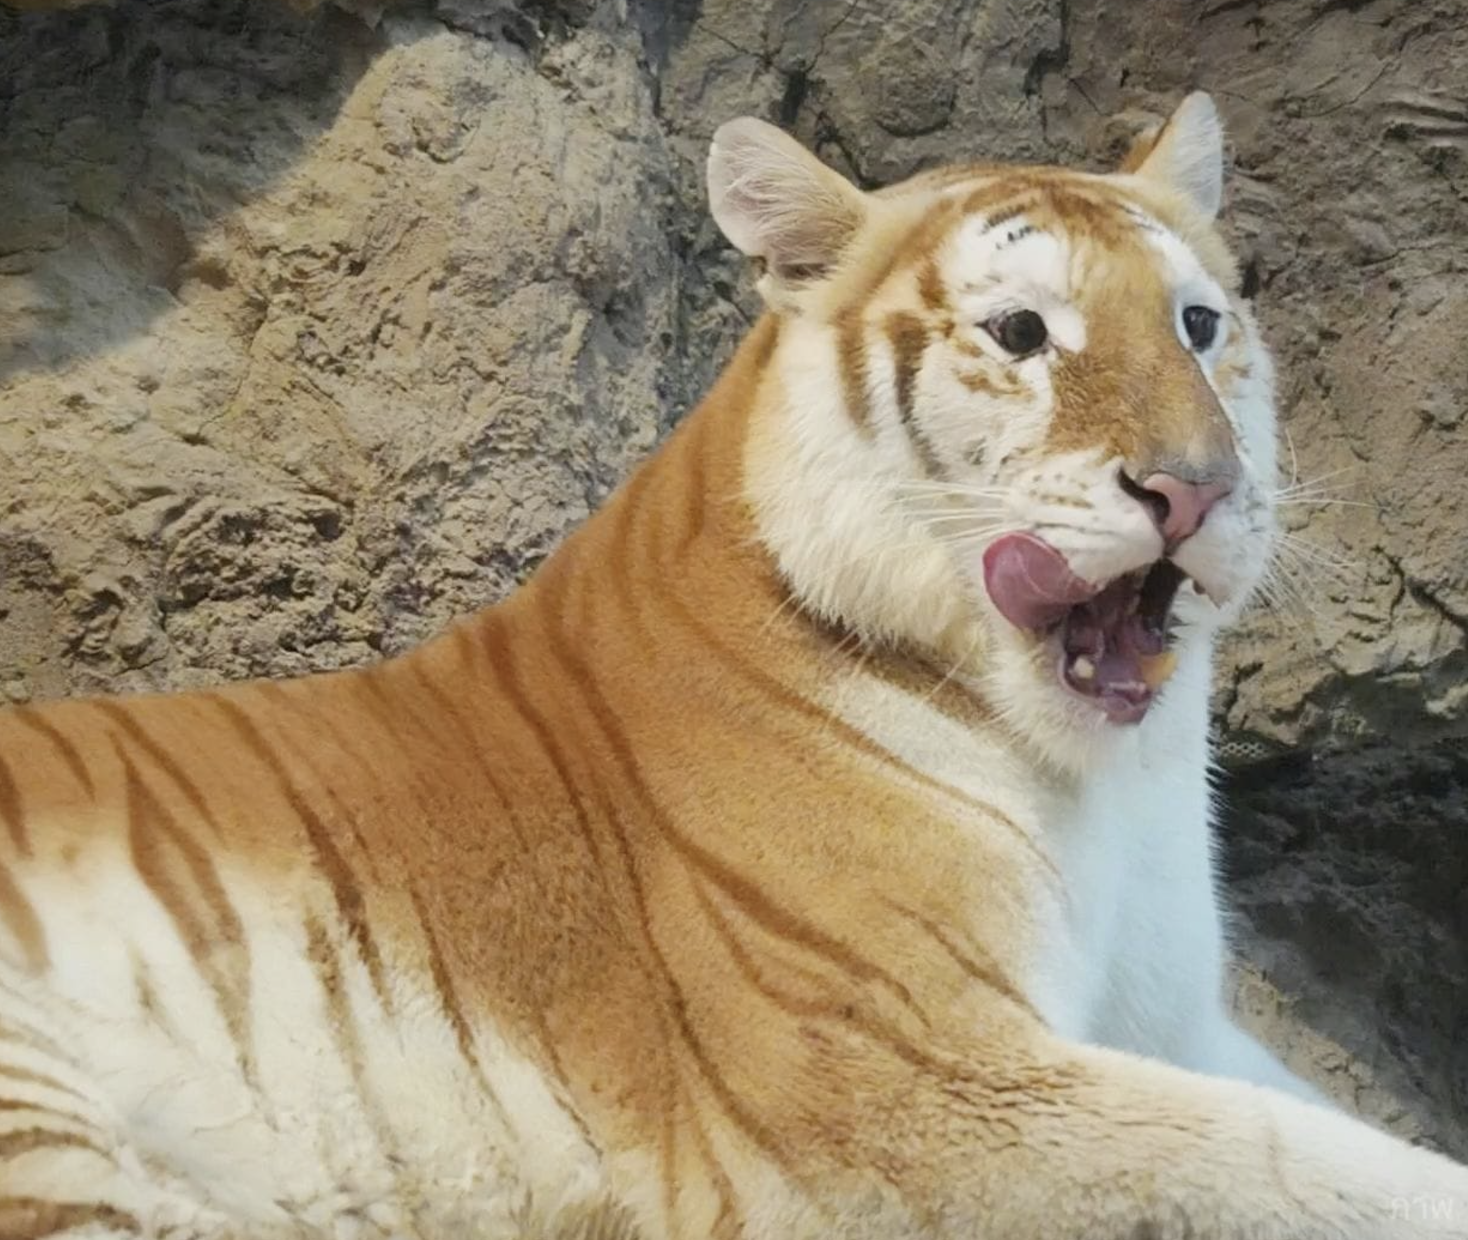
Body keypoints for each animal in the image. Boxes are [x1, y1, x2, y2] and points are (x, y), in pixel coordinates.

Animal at [0, 90, 1464, 1240]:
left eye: (1199, 325)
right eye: (1023, 334)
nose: (1196, 489)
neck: (1104, 778)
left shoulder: (1169, 1023)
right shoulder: (904, 1081)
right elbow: (1313, 1166)